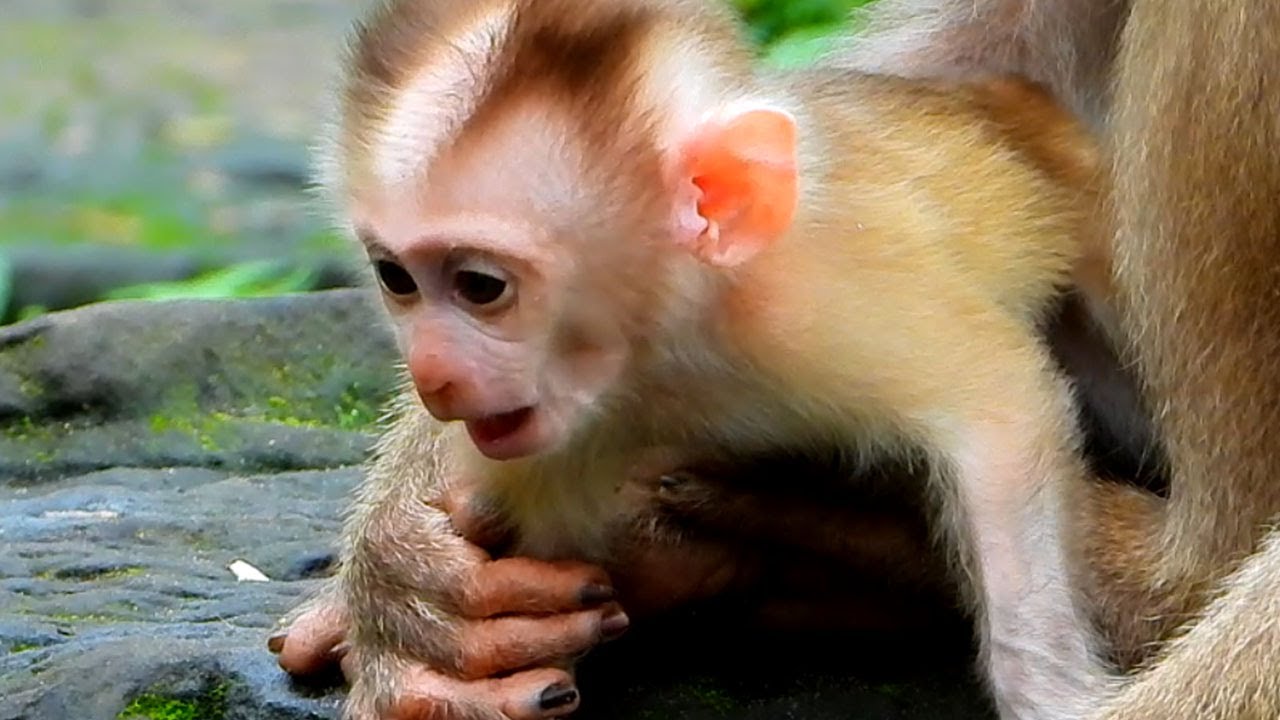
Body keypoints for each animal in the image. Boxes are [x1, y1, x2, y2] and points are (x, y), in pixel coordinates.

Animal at [264, 0, 1130, 718]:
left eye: (481, 287)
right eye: (396, 279)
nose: (433, 375)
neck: (671, 347)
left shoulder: (826, 309)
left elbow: (999, 410)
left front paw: (1048, 688)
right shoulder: (548, 442)